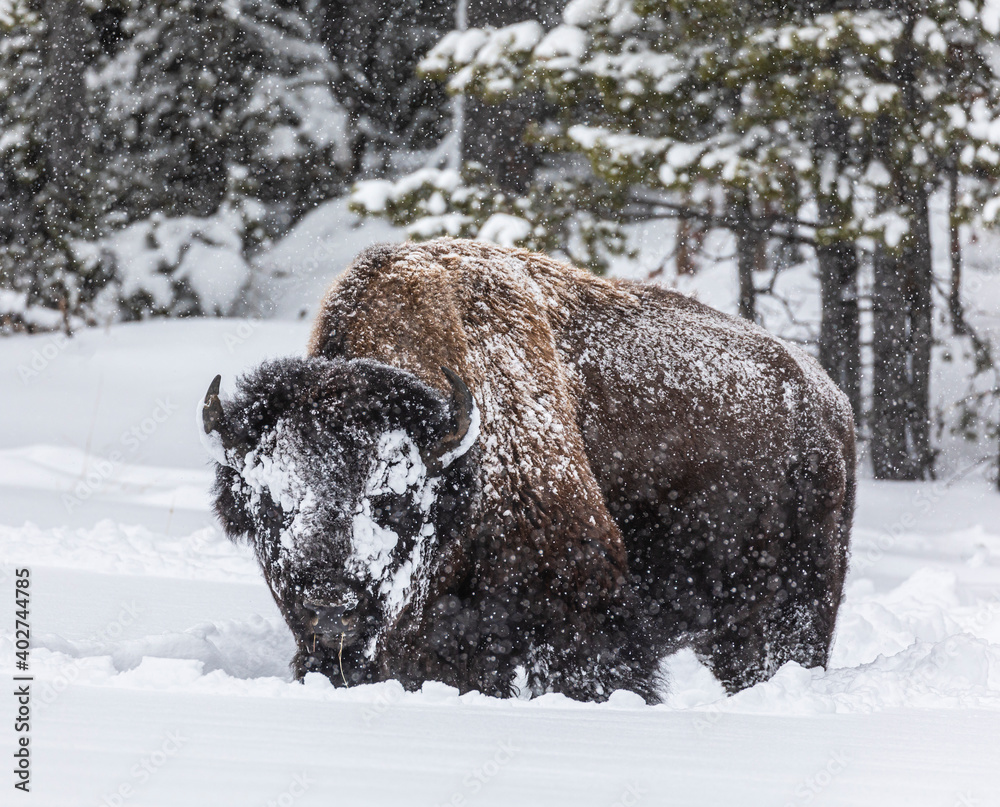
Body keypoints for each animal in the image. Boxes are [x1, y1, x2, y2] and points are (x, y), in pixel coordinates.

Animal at [202, 238, 855, 703]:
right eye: (271, 503)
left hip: (791, 609)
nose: (330, 602)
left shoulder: (575, 620)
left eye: (392, 500)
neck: (459, 471)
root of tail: (829, 401)